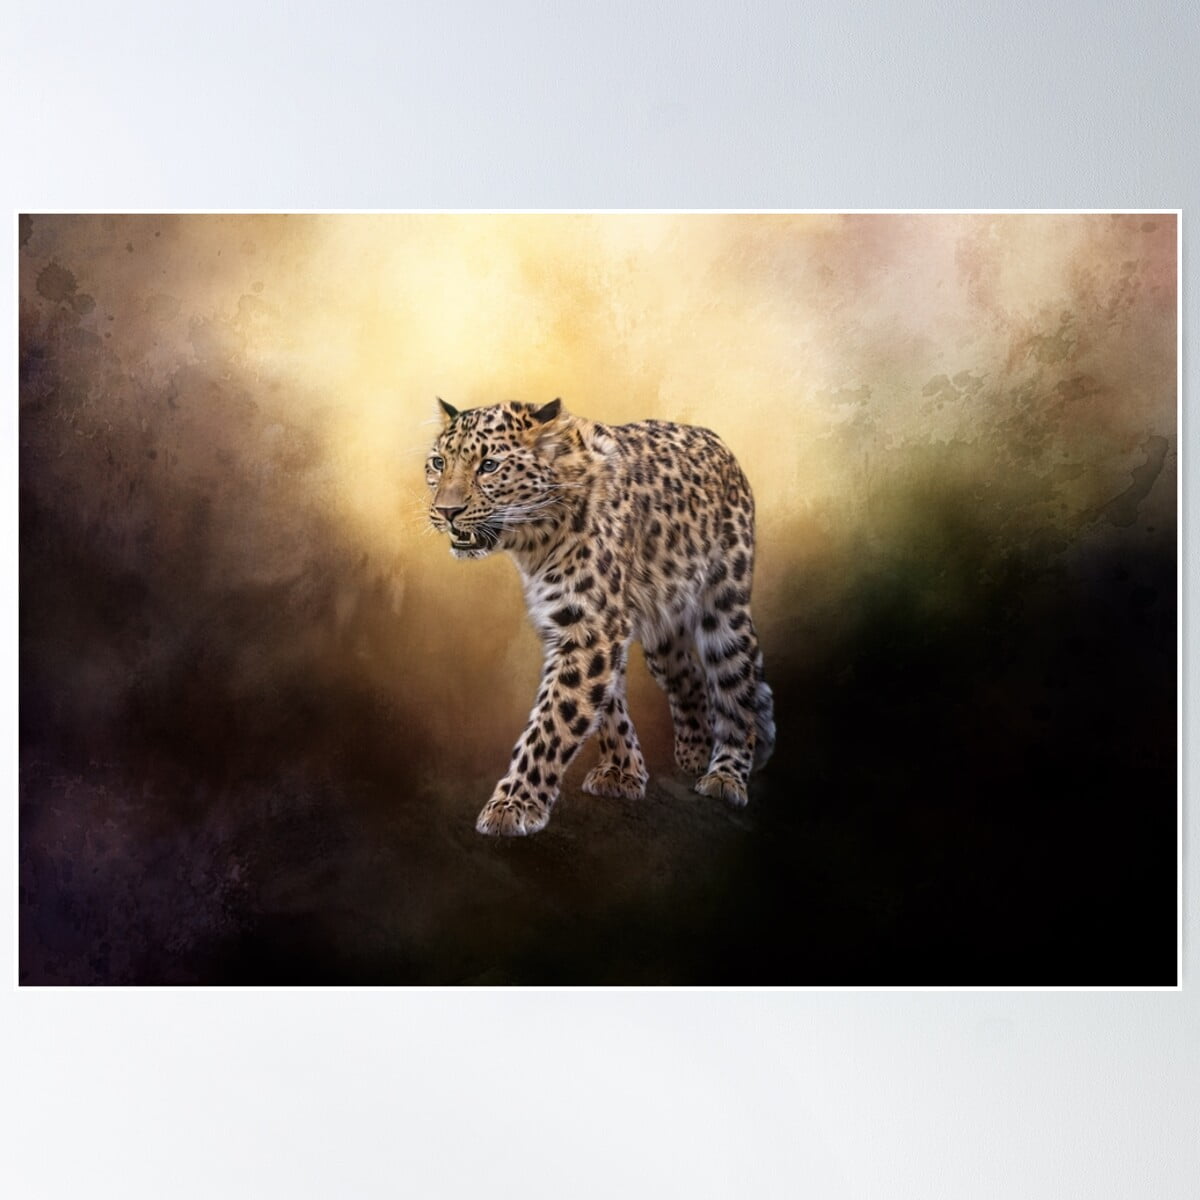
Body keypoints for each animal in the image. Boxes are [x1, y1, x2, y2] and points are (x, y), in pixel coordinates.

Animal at [425, 396, 775, 836]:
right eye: (438, 463)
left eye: (489, 465)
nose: (446, 512)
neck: (533, 540)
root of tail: (718, 444)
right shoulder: (577, 625)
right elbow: (604, 706)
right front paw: (622, 772)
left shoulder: (592, 629)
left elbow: (553, 721)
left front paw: (513, 805)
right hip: (663, 633)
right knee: (691, 679)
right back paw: (694, 755)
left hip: (724, 605)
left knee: (735, 683)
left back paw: (725, 775)